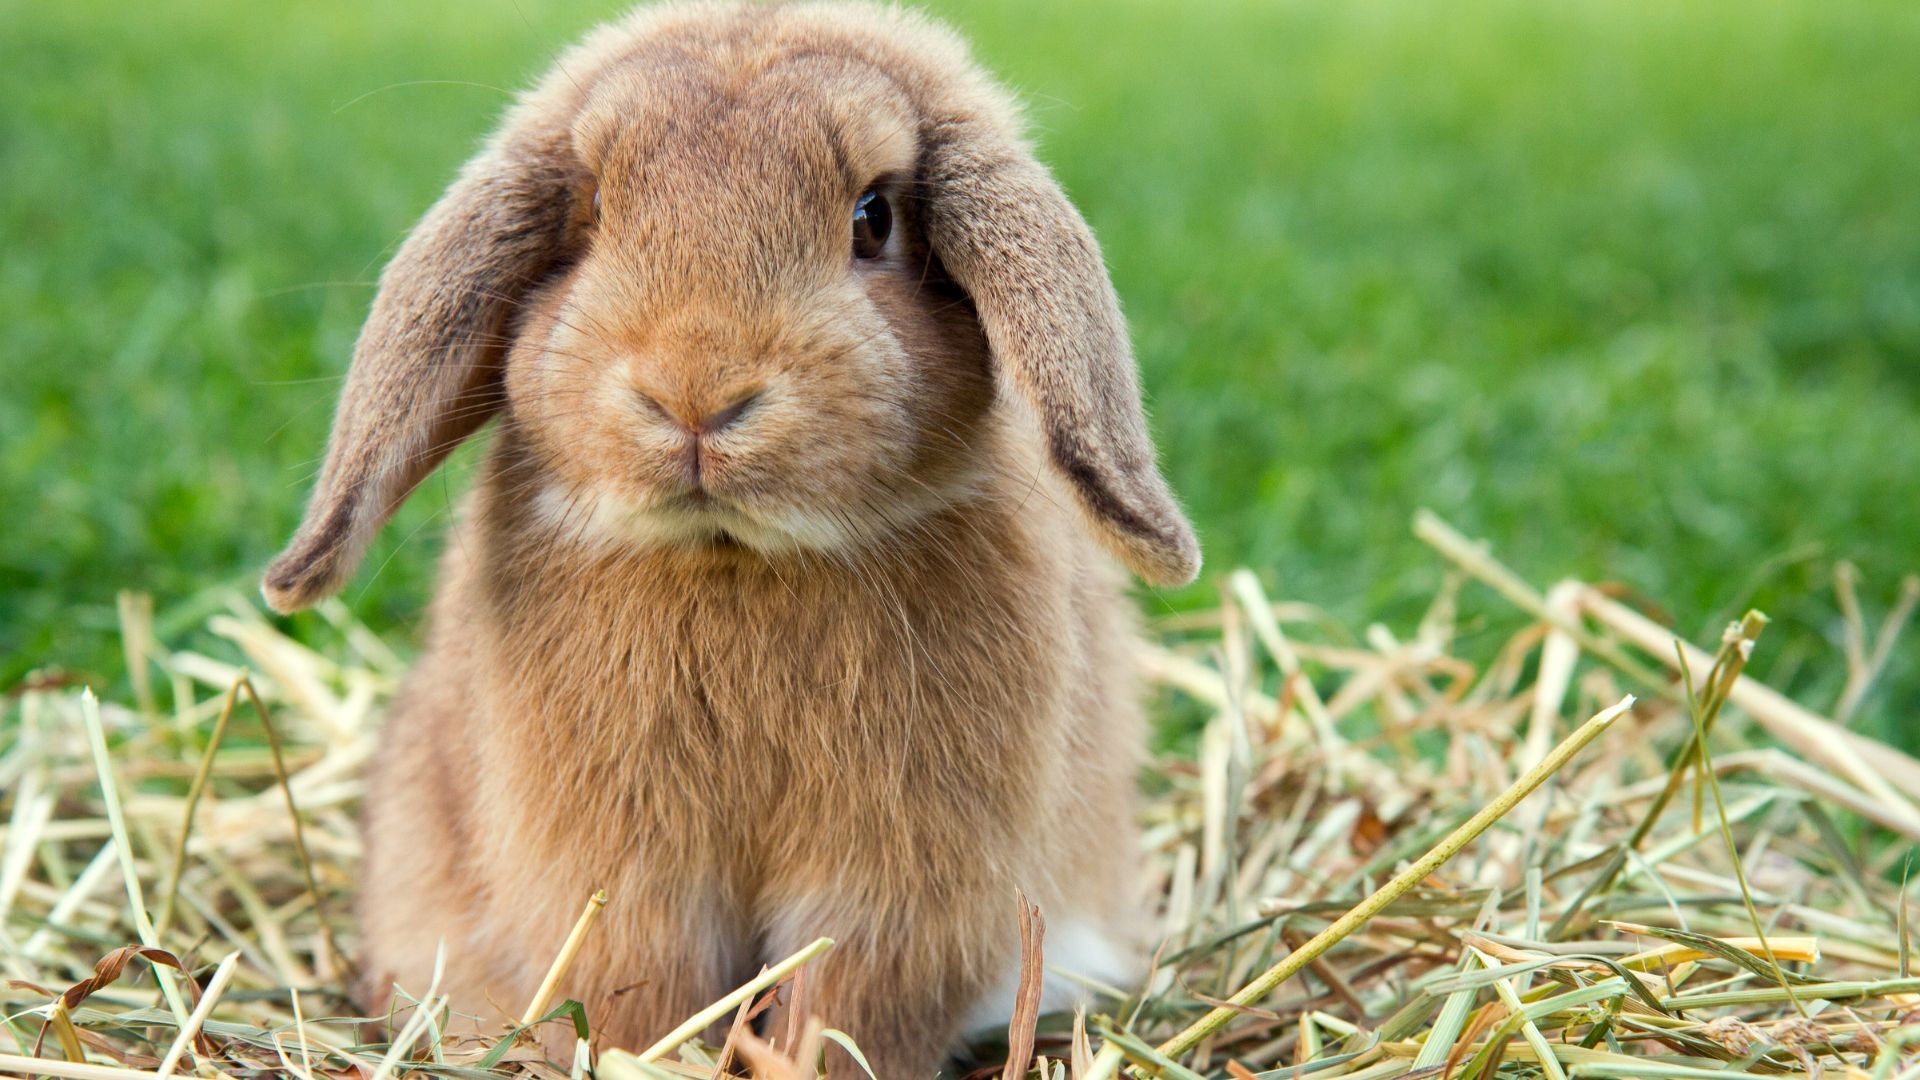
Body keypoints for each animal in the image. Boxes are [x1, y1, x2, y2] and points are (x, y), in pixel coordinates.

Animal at [261, 1, 1198, 1074]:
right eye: (592, 211)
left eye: (873, 218)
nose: (695, 392)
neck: (733, 558)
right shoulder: (626, 878)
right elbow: (642, 991)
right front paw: (643, 1058)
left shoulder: (896, 886)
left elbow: (841, 1000)